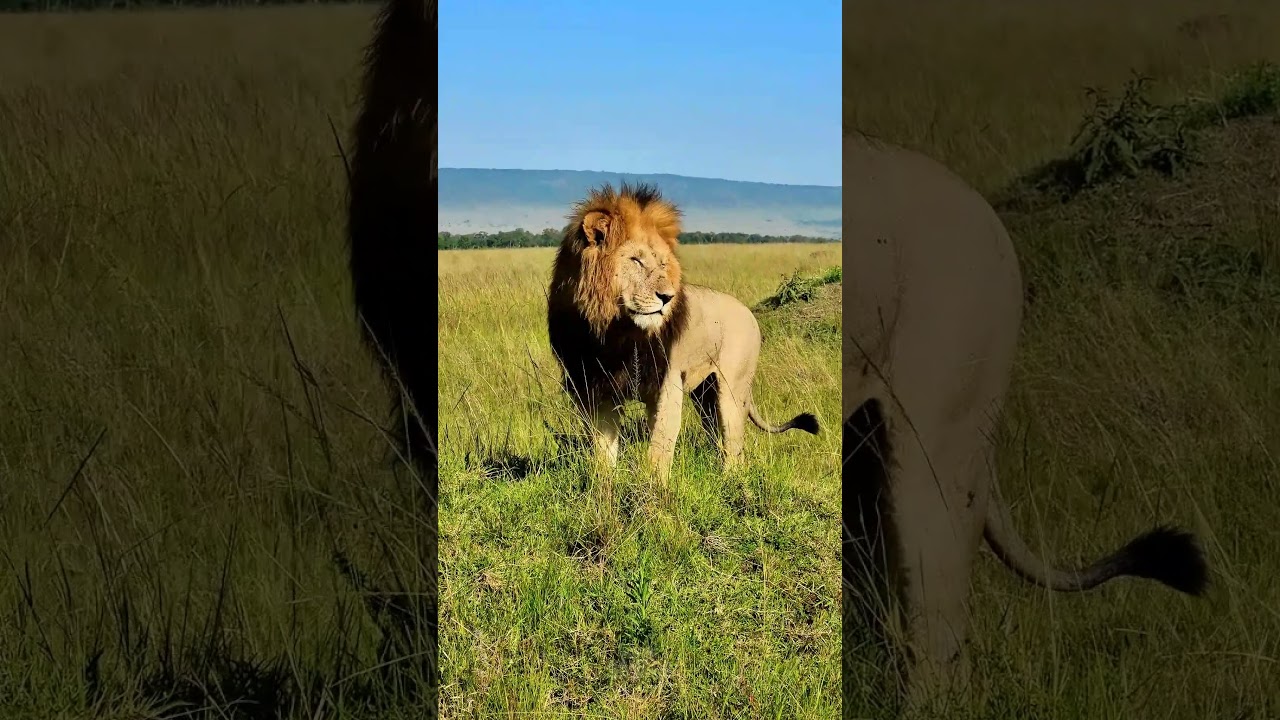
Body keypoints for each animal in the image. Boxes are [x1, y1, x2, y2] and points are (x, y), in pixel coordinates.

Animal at [547, 181, 821, 480]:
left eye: (663, 264)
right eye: (636, 260)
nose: (667, 297)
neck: (615, 332)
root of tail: (747, 311)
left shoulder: (667, 383)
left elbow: (659, 450)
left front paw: (653, 489)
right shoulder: (596, 389)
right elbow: (602, 449)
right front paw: (604, 485)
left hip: (732, 388)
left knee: (734, 443)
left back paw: (729, 481)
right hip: (705, 395)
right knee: (716, 432)